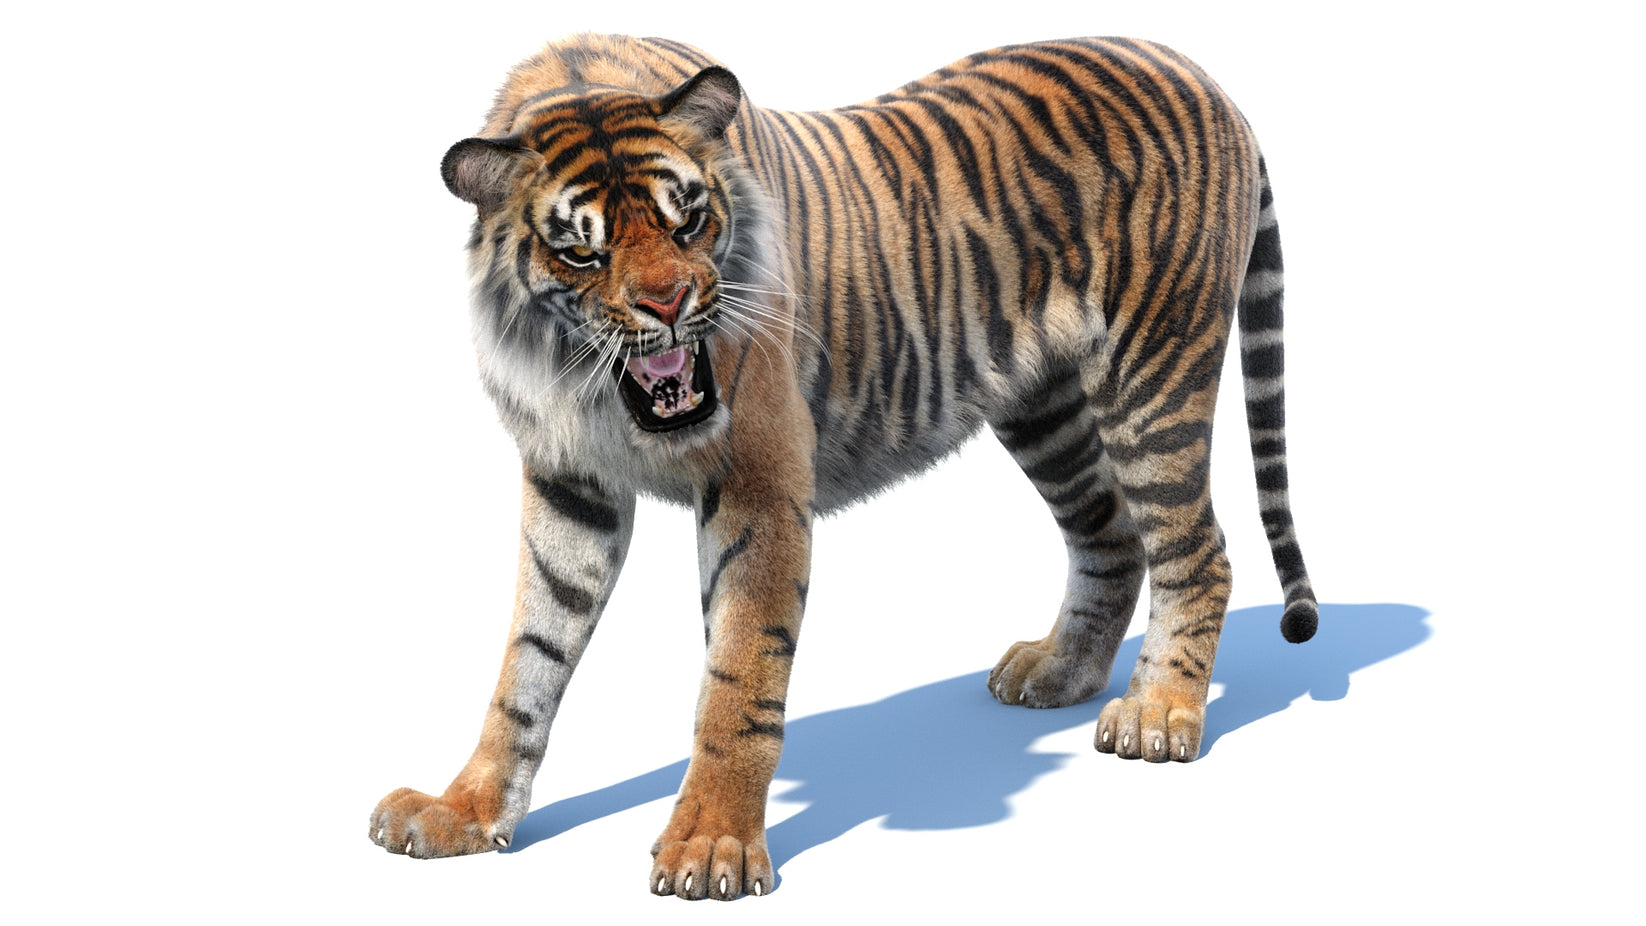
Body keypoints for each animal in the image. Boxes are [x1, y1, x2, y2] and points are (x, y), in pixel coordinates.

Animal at [369, 33, 1318, 900]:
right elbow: (529, 659)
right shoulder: (571, 486)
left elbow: (739, 674)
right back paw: (1059, 671)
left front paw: (711, 846)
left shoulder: (757, 483)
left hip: (1152, 375)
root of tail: (1195, 69)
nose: (669, 303)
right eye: (582, 251)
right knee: (1111, 535)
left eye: (688, 220)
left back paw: (1159, 714)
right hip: (1044, 407)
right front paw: (464, 810)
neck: (585, 384)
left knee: (1198, 551)